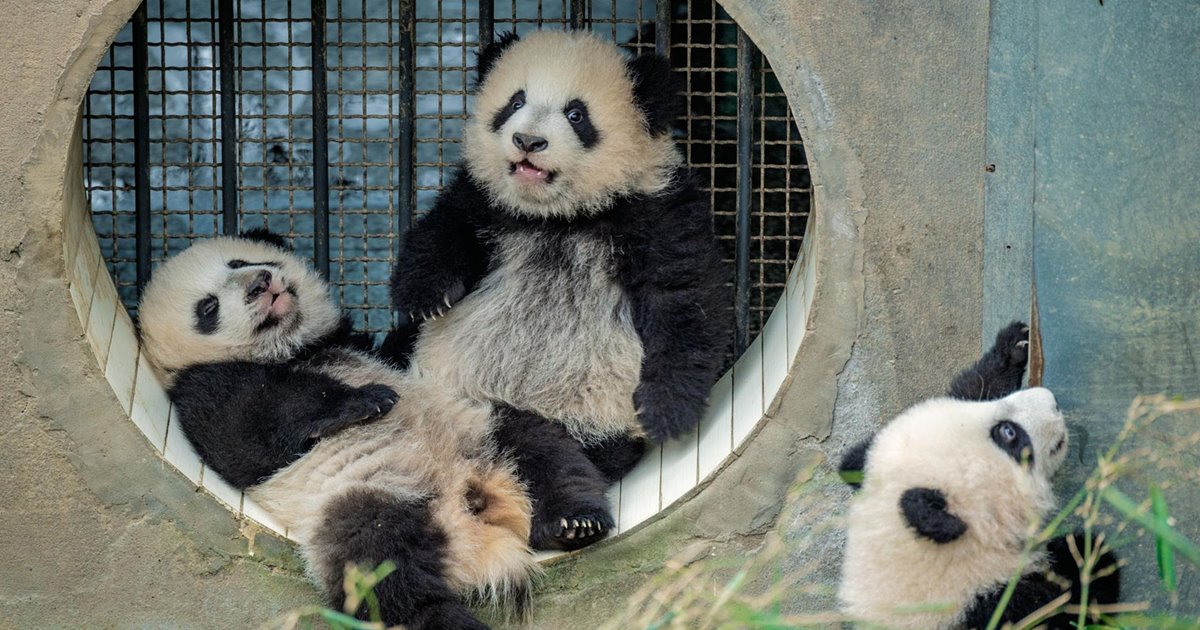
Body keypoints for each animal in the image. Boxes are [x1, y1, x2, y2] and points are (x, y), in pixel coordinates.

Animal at [137, 230, 538, 630]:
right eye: (208, 308)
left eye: (238, 262)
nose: (260, 284)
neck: (293, 351)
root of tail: (468, 519)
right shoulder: (201, 393)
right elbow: (247, 433)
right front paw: (365, 400)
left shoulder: (355, 345)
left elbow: (402, 347)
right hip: (359, 505)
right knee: (389, 582)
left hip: (478, 430)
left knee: (534, 442)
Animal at [387, 30, 731, 551]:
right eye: (515, 102)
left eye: (576, 114)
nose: (528, 141)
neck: (559, 216)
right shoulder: (483, 202)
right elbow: (444, 231)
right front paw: (423, 297)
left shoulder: (656, 208)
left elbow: (684, 300)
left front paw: (667, 411)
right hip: (461, 396)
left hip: (591, 413)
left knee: (546, 457)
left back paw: (573, 518)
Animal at [836, 322, 1122, 629]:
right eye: (1008, 432)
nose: (1051, 399)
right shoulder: (994, 608)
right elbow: (1066, 607)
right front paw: (1087, 554)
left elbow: (972, 384)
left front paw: (1013, 346)